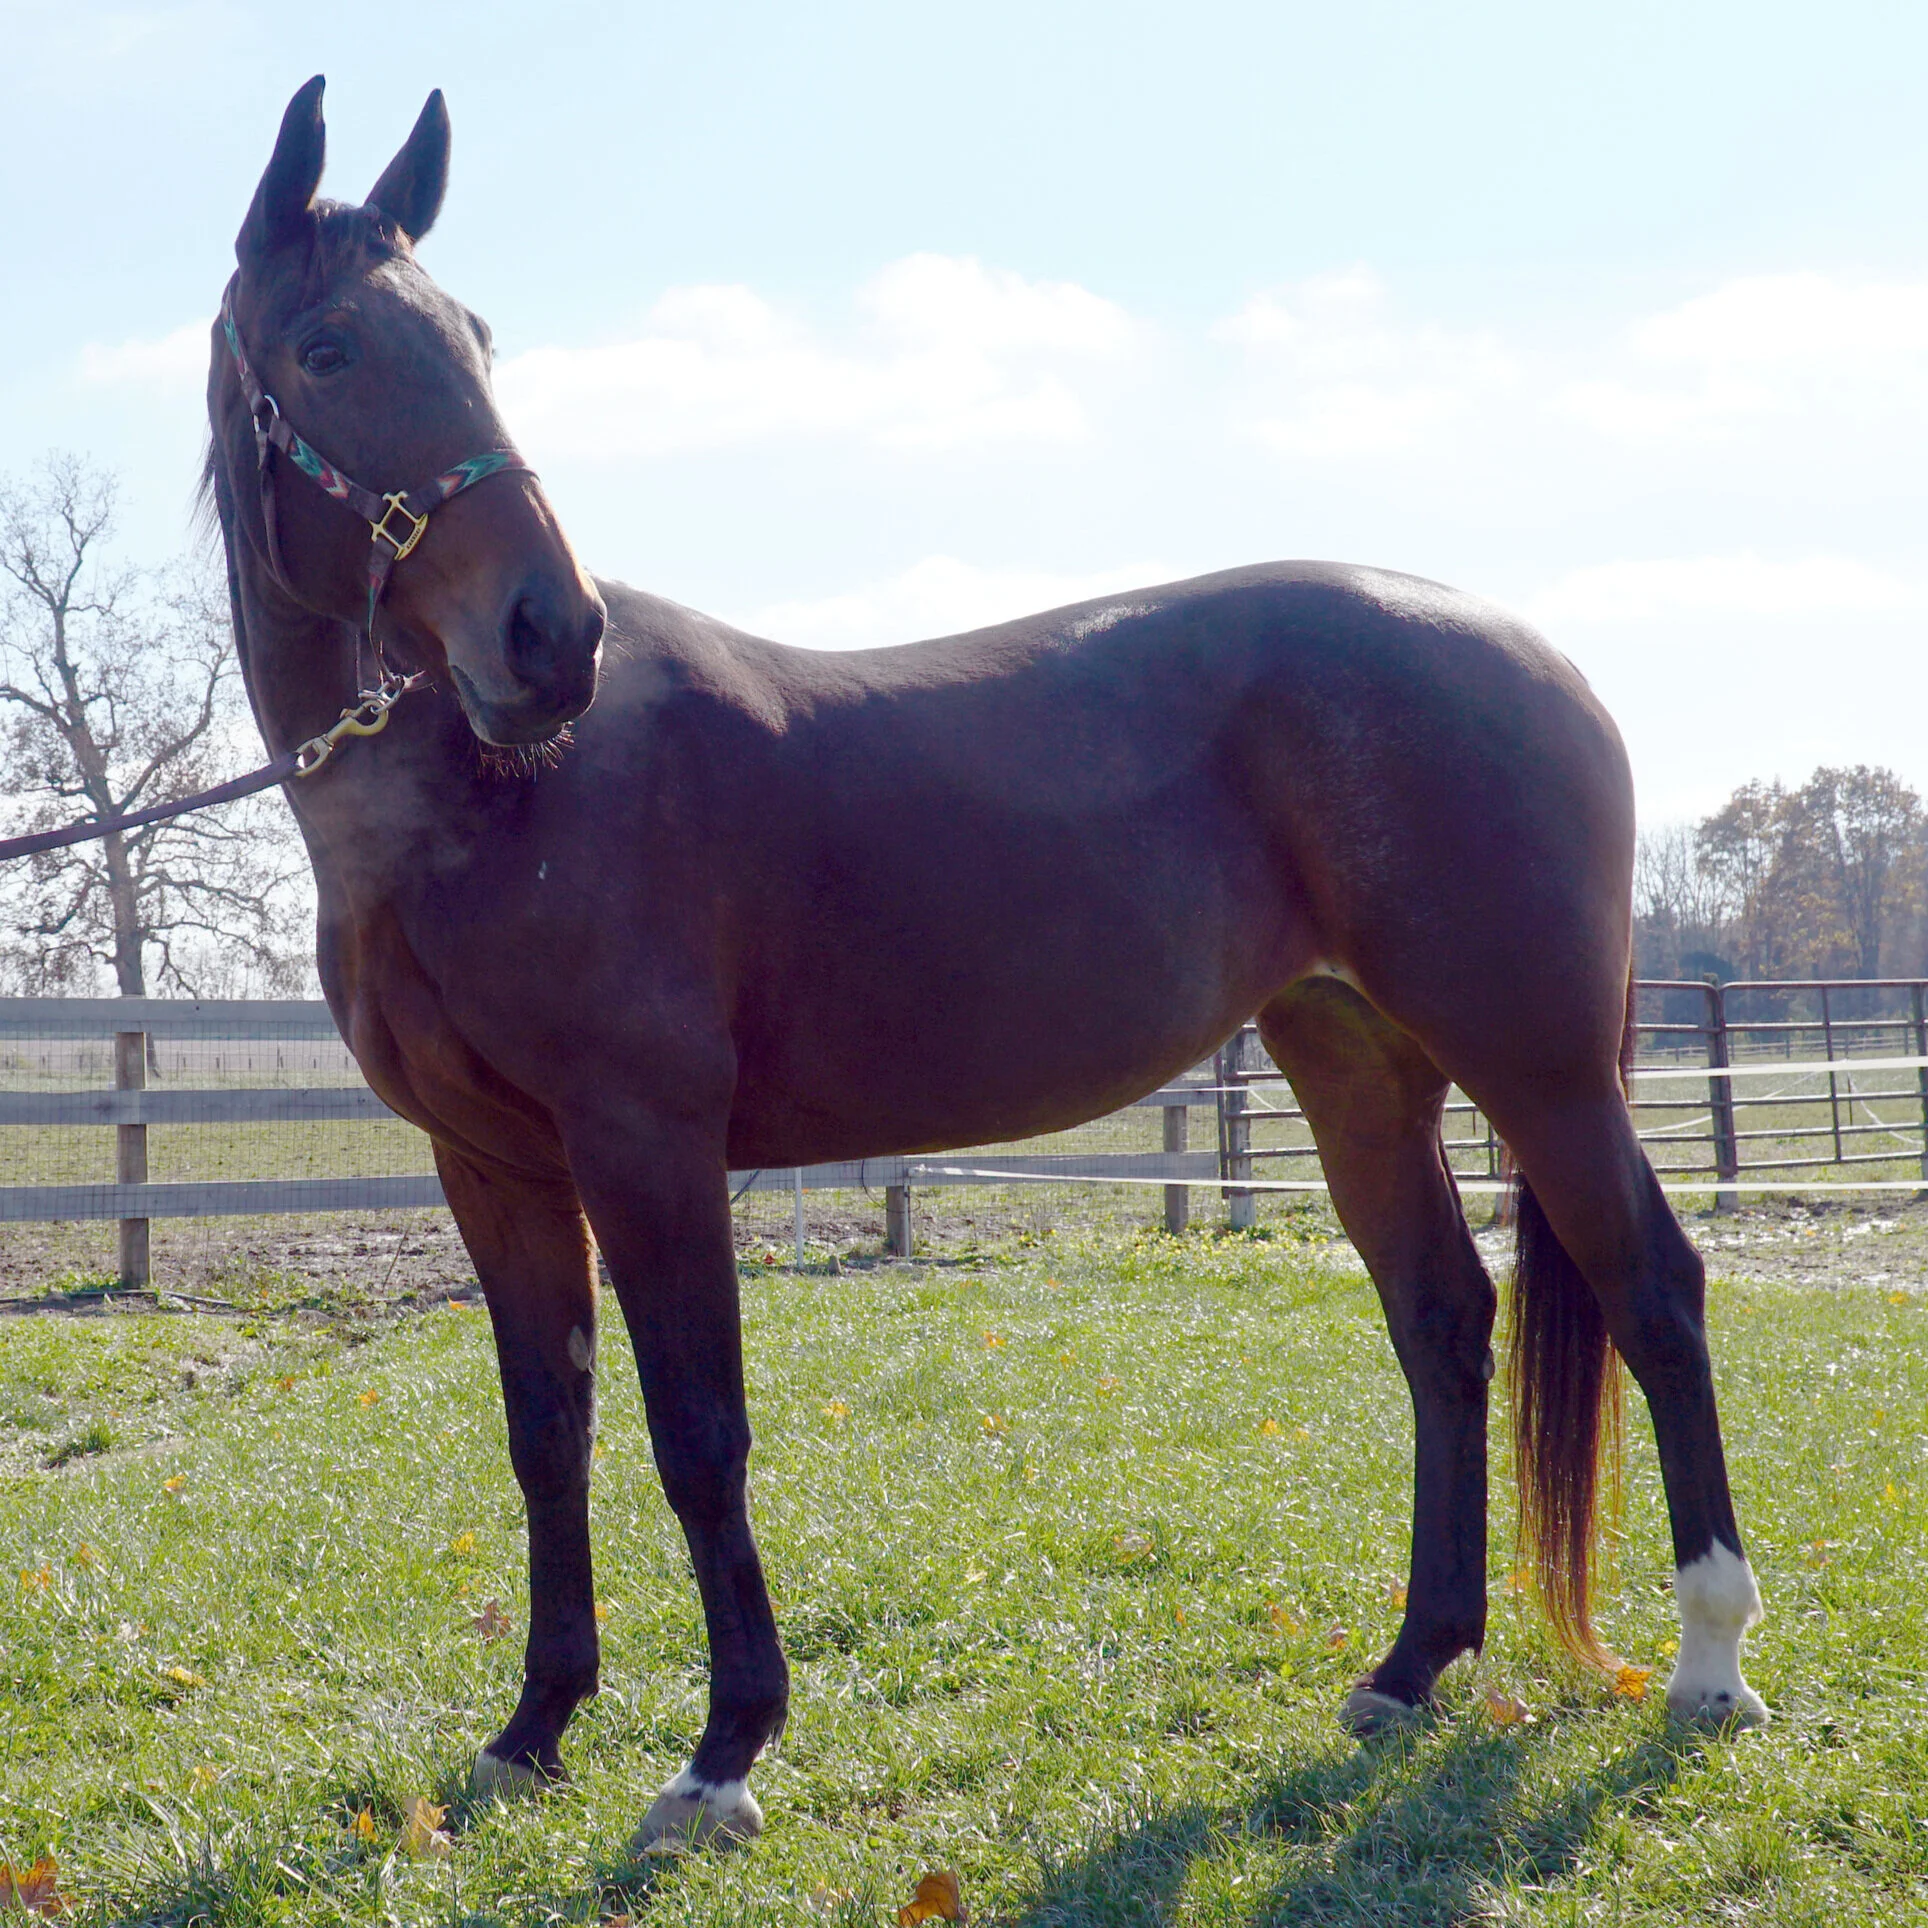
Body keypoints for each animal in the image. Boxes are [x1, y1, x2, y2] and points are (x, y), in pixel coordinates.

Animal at [202, 76, 1767, 1850]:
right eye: (329, 346)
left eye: (472, 335)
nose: (554, 637)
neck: (493, 798)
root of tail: (1545, 658)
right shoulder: (494, 1167)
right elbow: (551, 1434)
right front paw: (534, 1728)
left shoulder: (647, 1148)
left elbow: (698, 1434)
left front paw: (723, 1758)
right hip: (1357, 1061)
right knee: (1442, 1318)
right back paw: (1410, 1666)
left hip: (1540, 1064)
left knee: (1653, 1291)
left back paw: (1711, 1664)